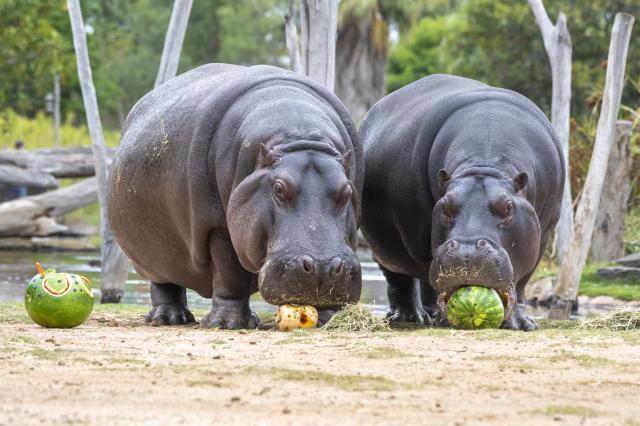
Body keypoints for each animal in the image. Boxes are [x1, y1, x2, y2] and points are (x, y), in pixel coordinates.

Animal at [107, 64, 364, 329]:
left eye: (347, 192)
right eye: (278, 188)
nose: (323, 266)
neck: (300, 137)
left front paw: (326, 320)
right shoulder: (217, 227)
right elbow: (230, 274)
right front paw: (227, 324)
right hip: (156, 255)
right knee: (165, 284)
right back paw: (169, 318)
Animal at [360, 74, 564, 331]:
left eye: (508, 207)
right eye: (444, 205)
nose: (467, 249)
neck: (485, 160)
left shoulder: (543, 234)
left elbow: (521, 281)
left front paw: (522, 325)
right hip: (385, 250)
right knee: (400, 279)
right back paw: (411, 318)